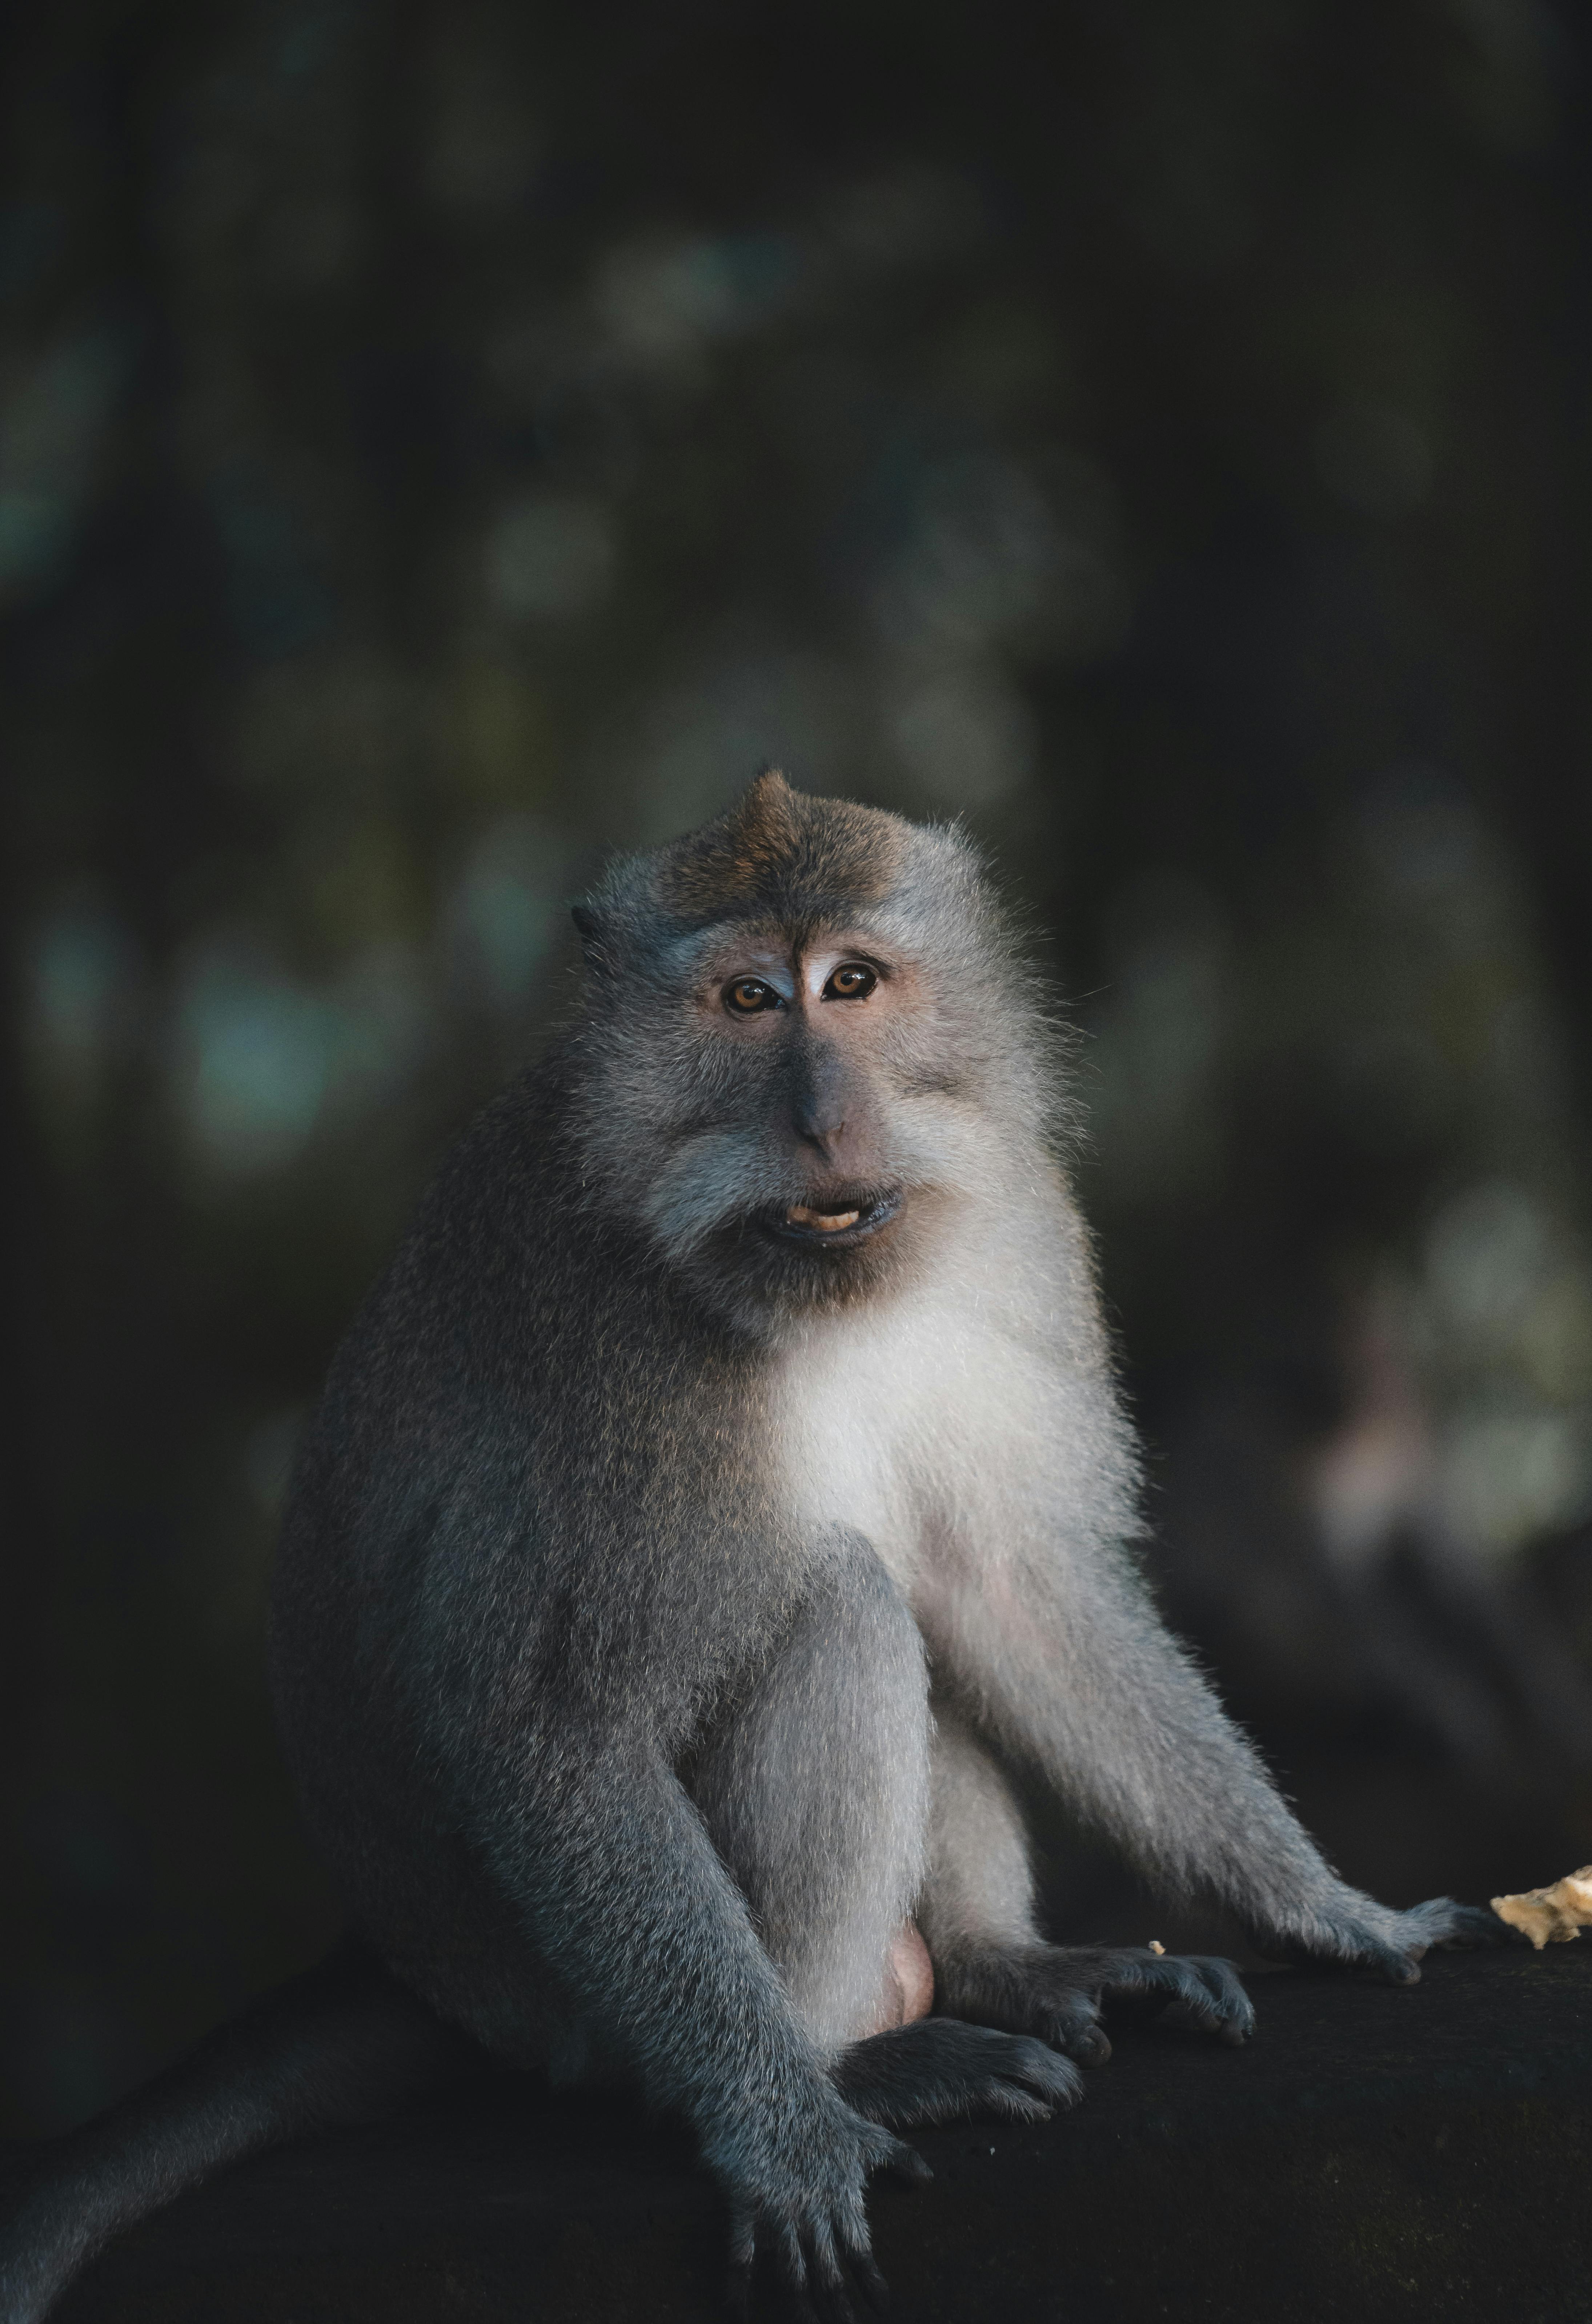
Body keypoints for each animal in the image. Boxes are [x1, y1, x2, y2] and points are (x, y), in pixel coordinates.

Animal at [0, 773, 1502, 2324]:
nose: (827, 1117)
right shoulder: (621, 1369)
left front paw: (1329, 1911)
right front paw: (781, 2130)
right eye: (744, 999)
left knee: (907, 1592)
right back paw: (855, 2066)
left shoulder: (1015, 1231)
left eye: (851, 984)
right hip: (569, 2014)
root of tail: (402, 1962)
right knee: (843, 1602)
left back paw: (1007, 1967)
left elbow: (1012, 1591)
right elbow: (560, 1730)